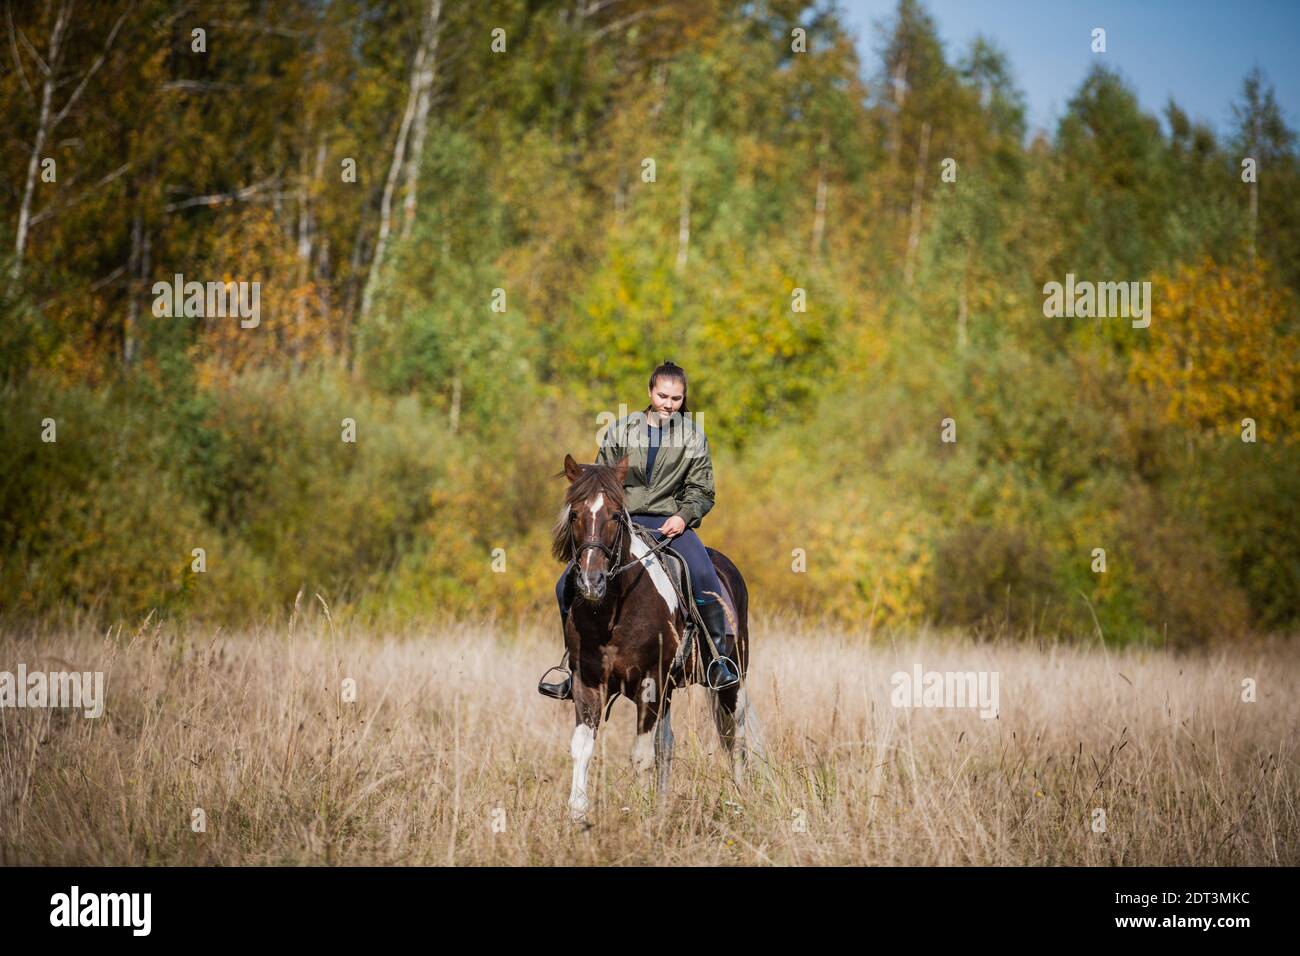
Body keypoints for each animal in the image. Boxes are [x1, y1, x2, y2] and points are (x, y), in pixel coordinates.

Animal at [549, 453, 765, 822]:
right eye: (575, 514)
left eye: (615, 516)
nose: (592, 581)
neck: (611, 612)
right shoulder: (588, 683)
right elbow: (582, 747)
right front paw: (577, 814)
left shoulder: (649, 682)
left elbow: (641, 755)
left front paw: (639, 815)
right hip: (669, 690)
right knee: (668, 743)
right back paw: (664, 806)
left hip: (731, 681)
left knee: (734, 737)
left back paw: (741, 801)